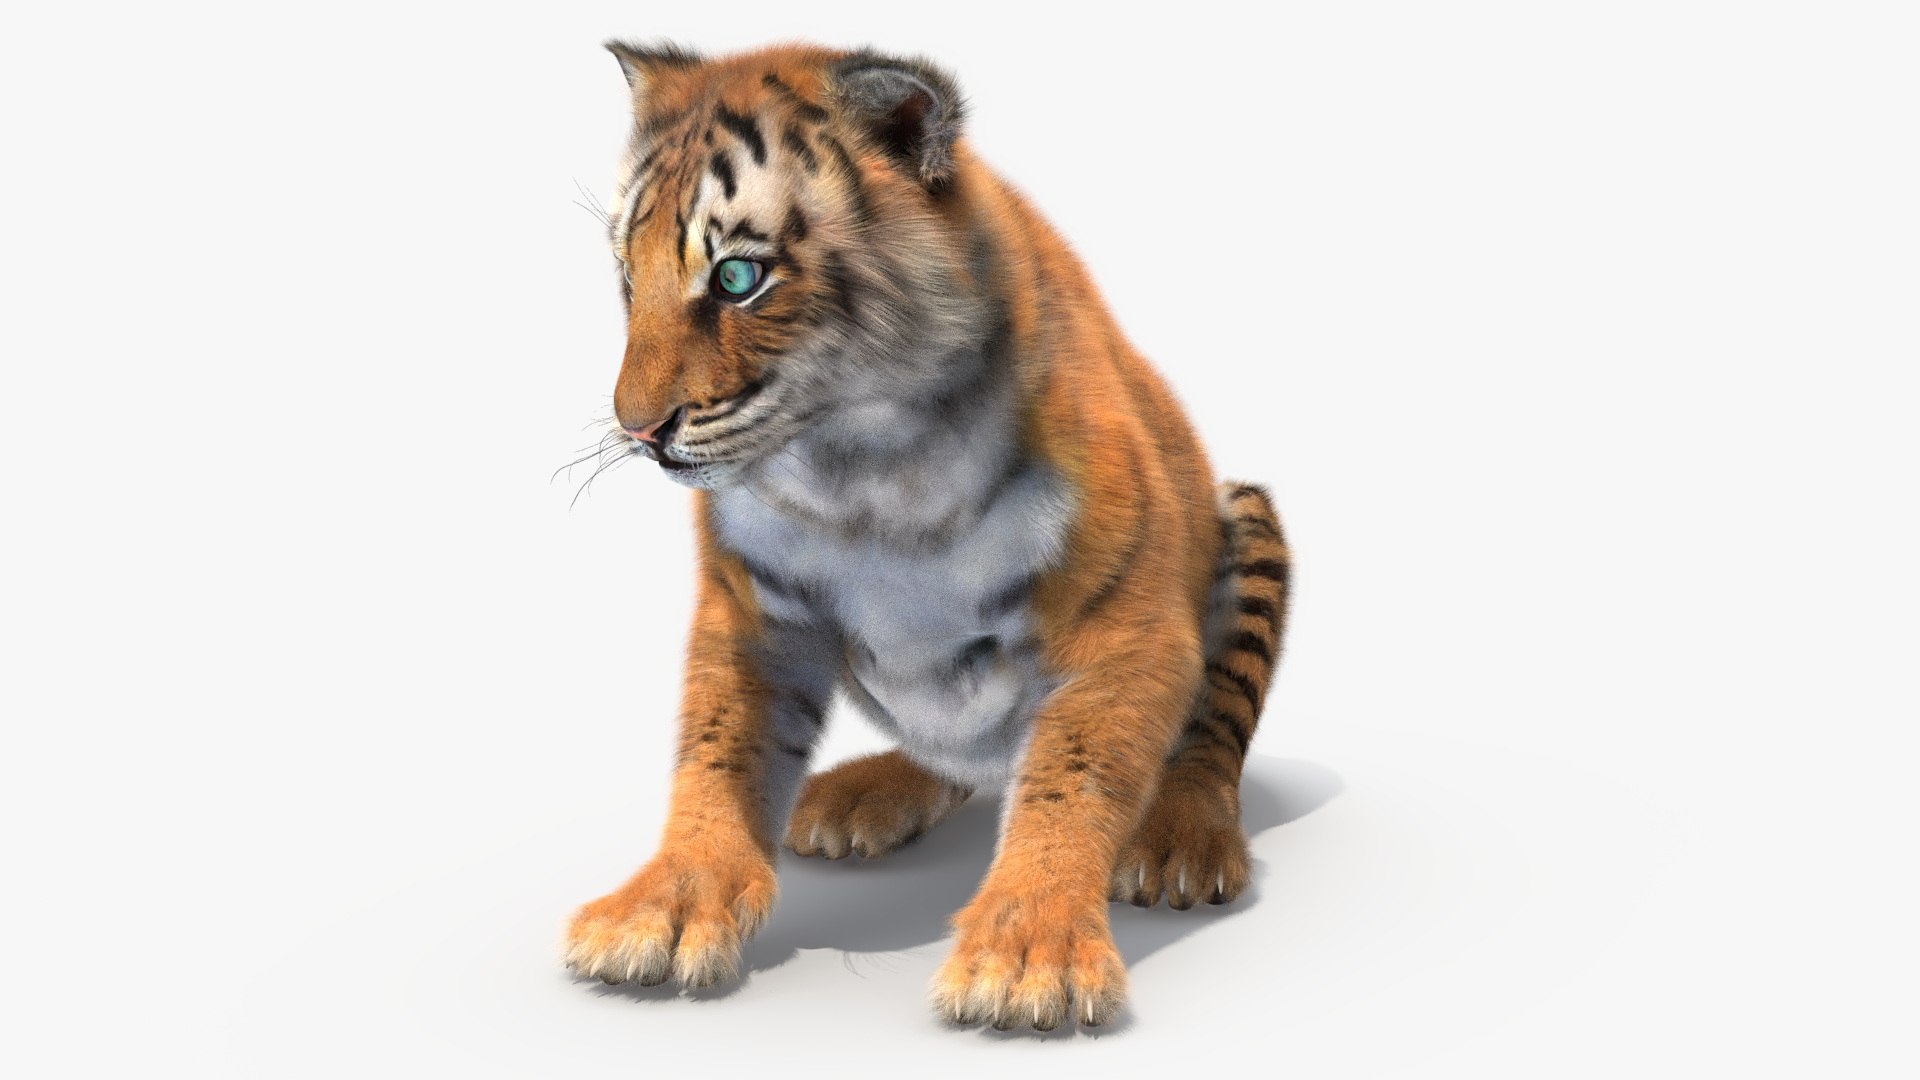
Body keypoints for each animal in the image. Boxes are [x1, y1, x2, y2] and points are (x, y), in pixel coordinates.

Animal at [563, 40, 1292, 1031]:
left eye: (737, 278)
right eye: (626, 277)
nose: (638, 431)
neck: (862, 470)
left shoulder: (1127, 624)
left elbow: (1070, 778)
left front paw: (1028, 955)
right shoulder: (752, 612)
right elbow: (715, 752)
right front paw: (664, 906)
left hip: (1246, 516)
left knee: (1207, 730)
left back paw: (1183, 838)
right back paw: (858, 795)